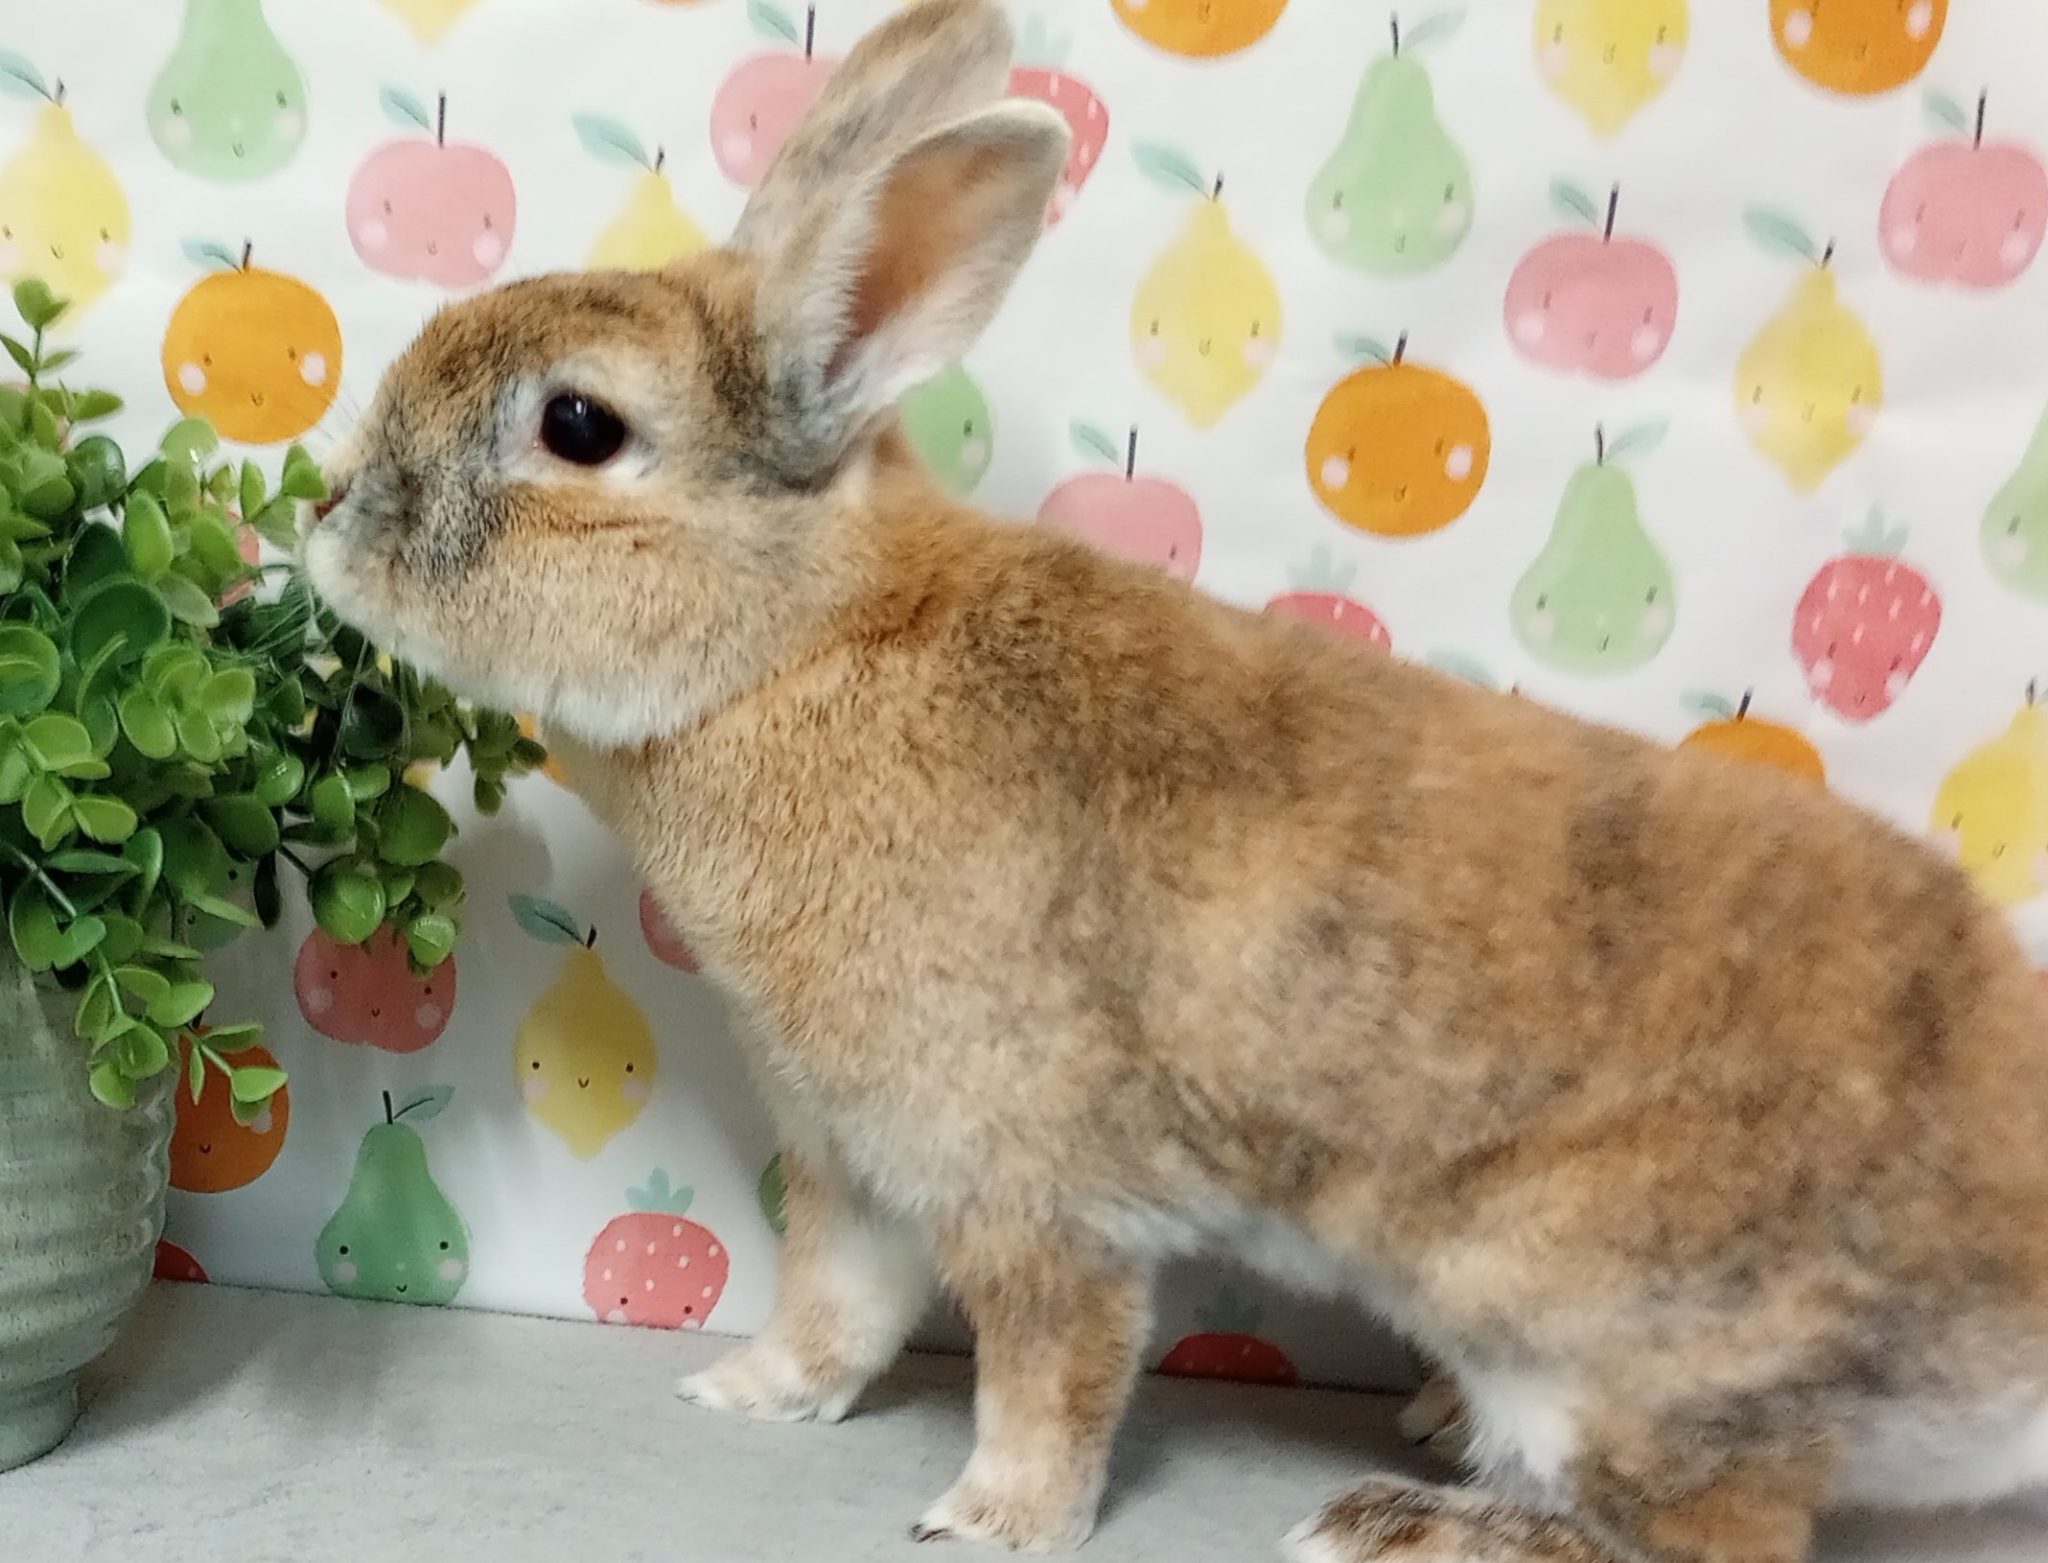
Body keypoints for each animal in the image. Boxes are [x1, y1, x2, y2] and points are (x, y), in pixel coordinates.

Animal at [300, 1, 2048, 1557]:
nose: (325, 517)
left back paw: (1400, 1523)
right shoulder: (851, 1151)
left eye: (578, 425)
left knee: (1724, 1527)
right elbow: (840, 1304)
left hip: (1602, 1326)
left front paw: (991, 1519)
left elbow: (1052, 1364)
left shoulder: (1026, 1175)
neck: (798, 649)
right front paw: (747, 1393)